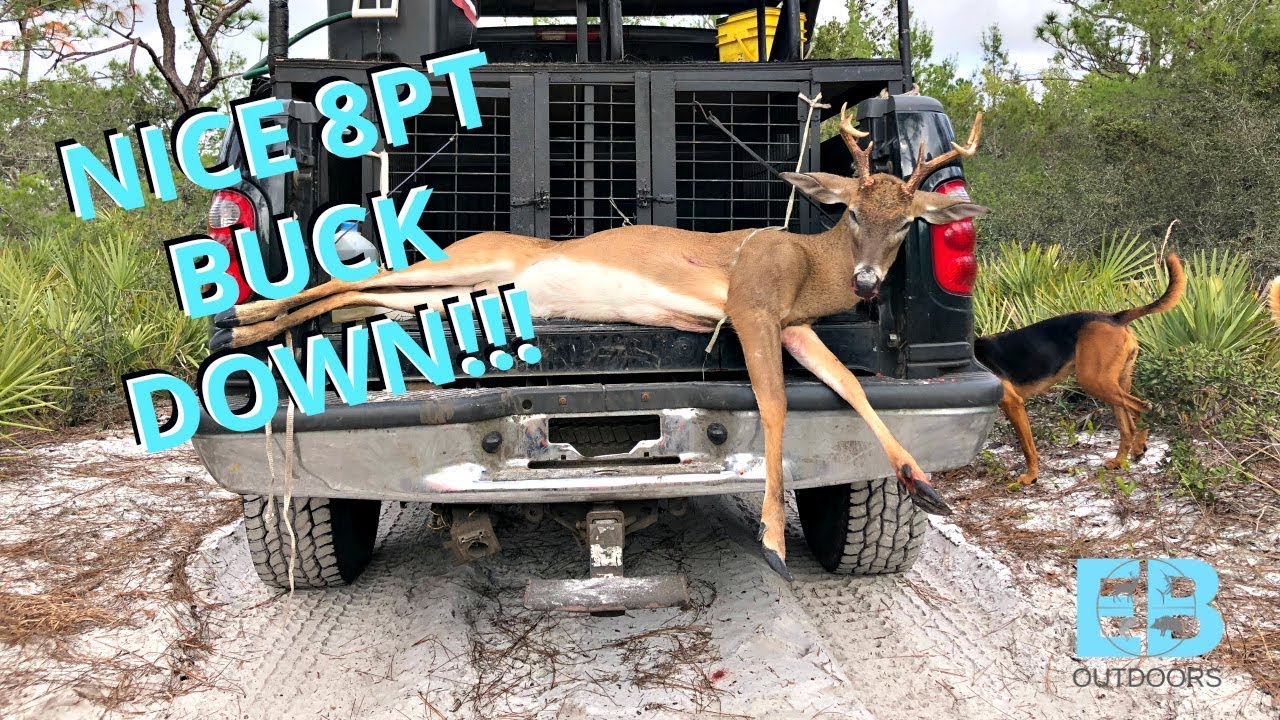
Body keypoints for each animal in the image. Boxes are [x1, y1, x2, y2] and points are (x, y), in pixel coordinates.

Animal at [210, 104, 988, 580]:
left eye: (908, 220)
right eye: (853, 211)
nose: (866, 281)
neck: (807, 268)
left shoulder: (793, 328)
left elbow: (851, 385)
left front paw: (925, 487)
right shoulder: (750, 308)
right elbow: (773, 407)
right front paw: (771, 540)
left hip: (449, 294)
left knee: (356, 296)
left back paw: (262, 323)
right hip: (460, 268)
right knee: (354, 280)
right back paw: (242, 323)